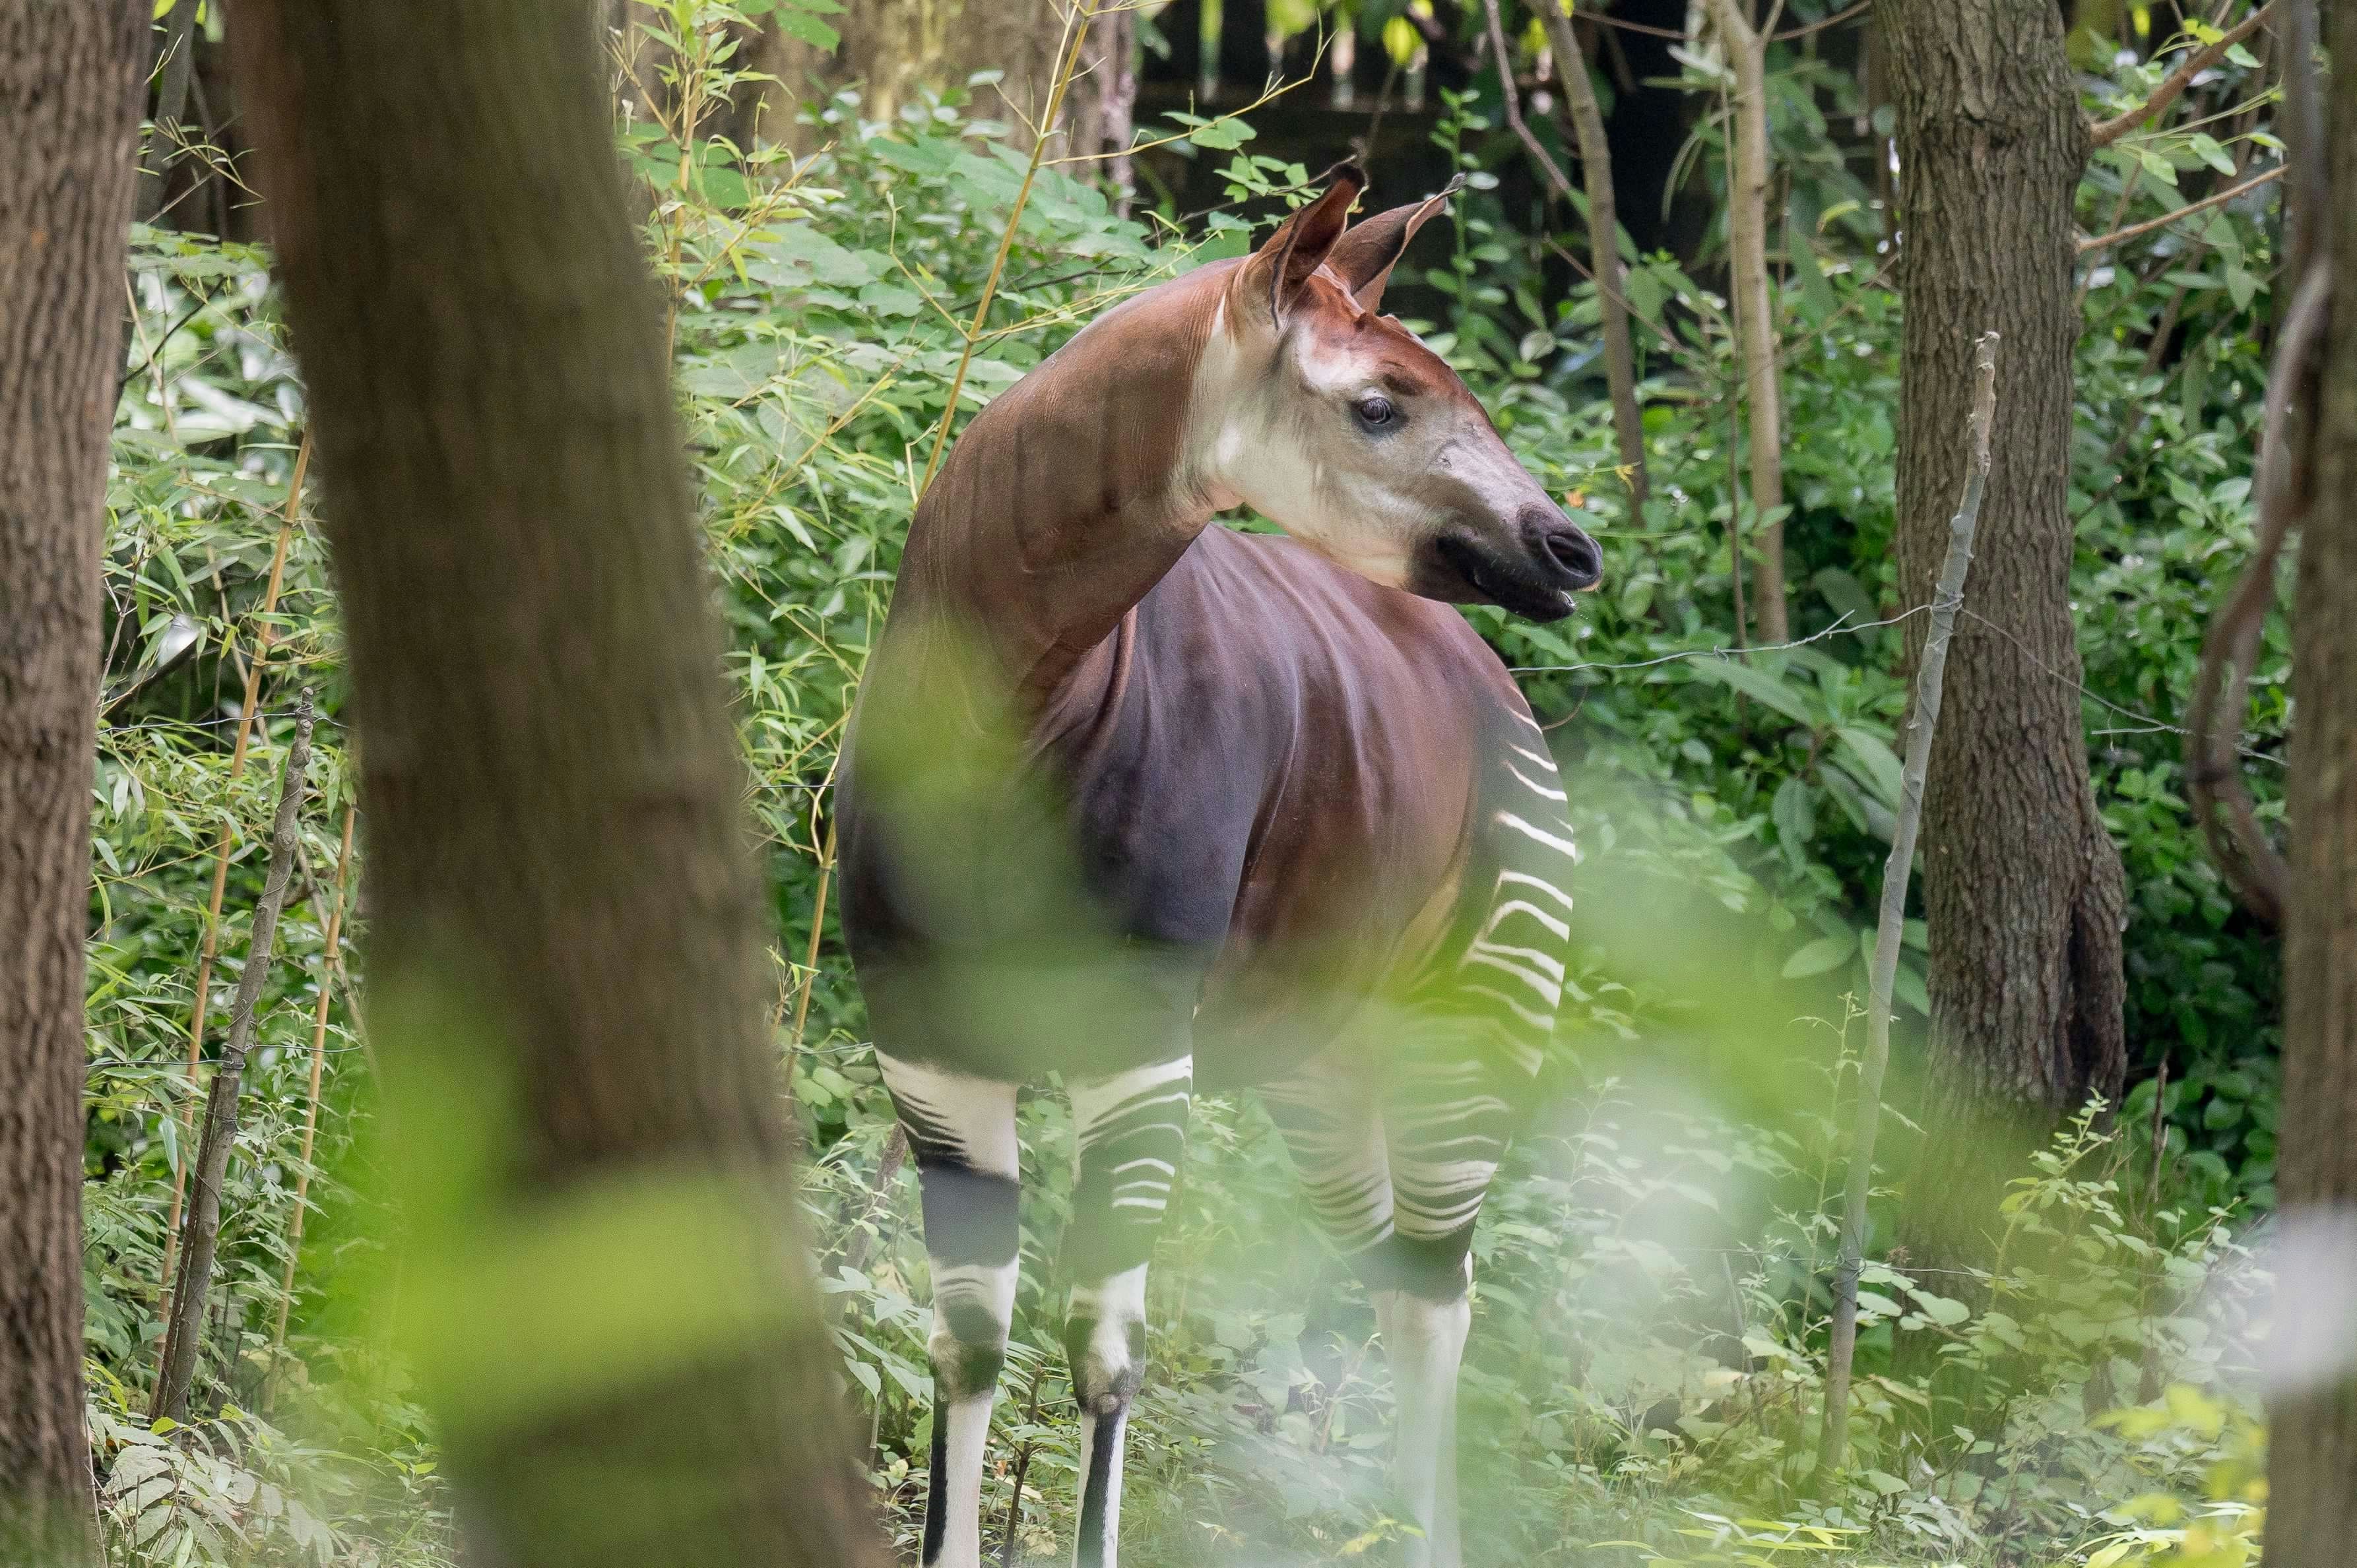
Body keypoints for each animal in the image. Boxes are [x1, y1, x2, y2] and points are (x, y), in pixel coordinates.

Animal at [837, 165, 1600, 1568]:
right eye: (1378, 403)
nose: (1570, 551)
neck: (1002, 712)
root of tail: (1490, 683)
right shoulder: (927, 1036)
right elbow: (965, 1341)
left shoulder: (1133, 1038)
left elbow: (1103, 1355)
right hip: (1314, 1055)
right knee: (1378, 1264)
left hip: (1477, 1012)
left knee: (1437, 1288)